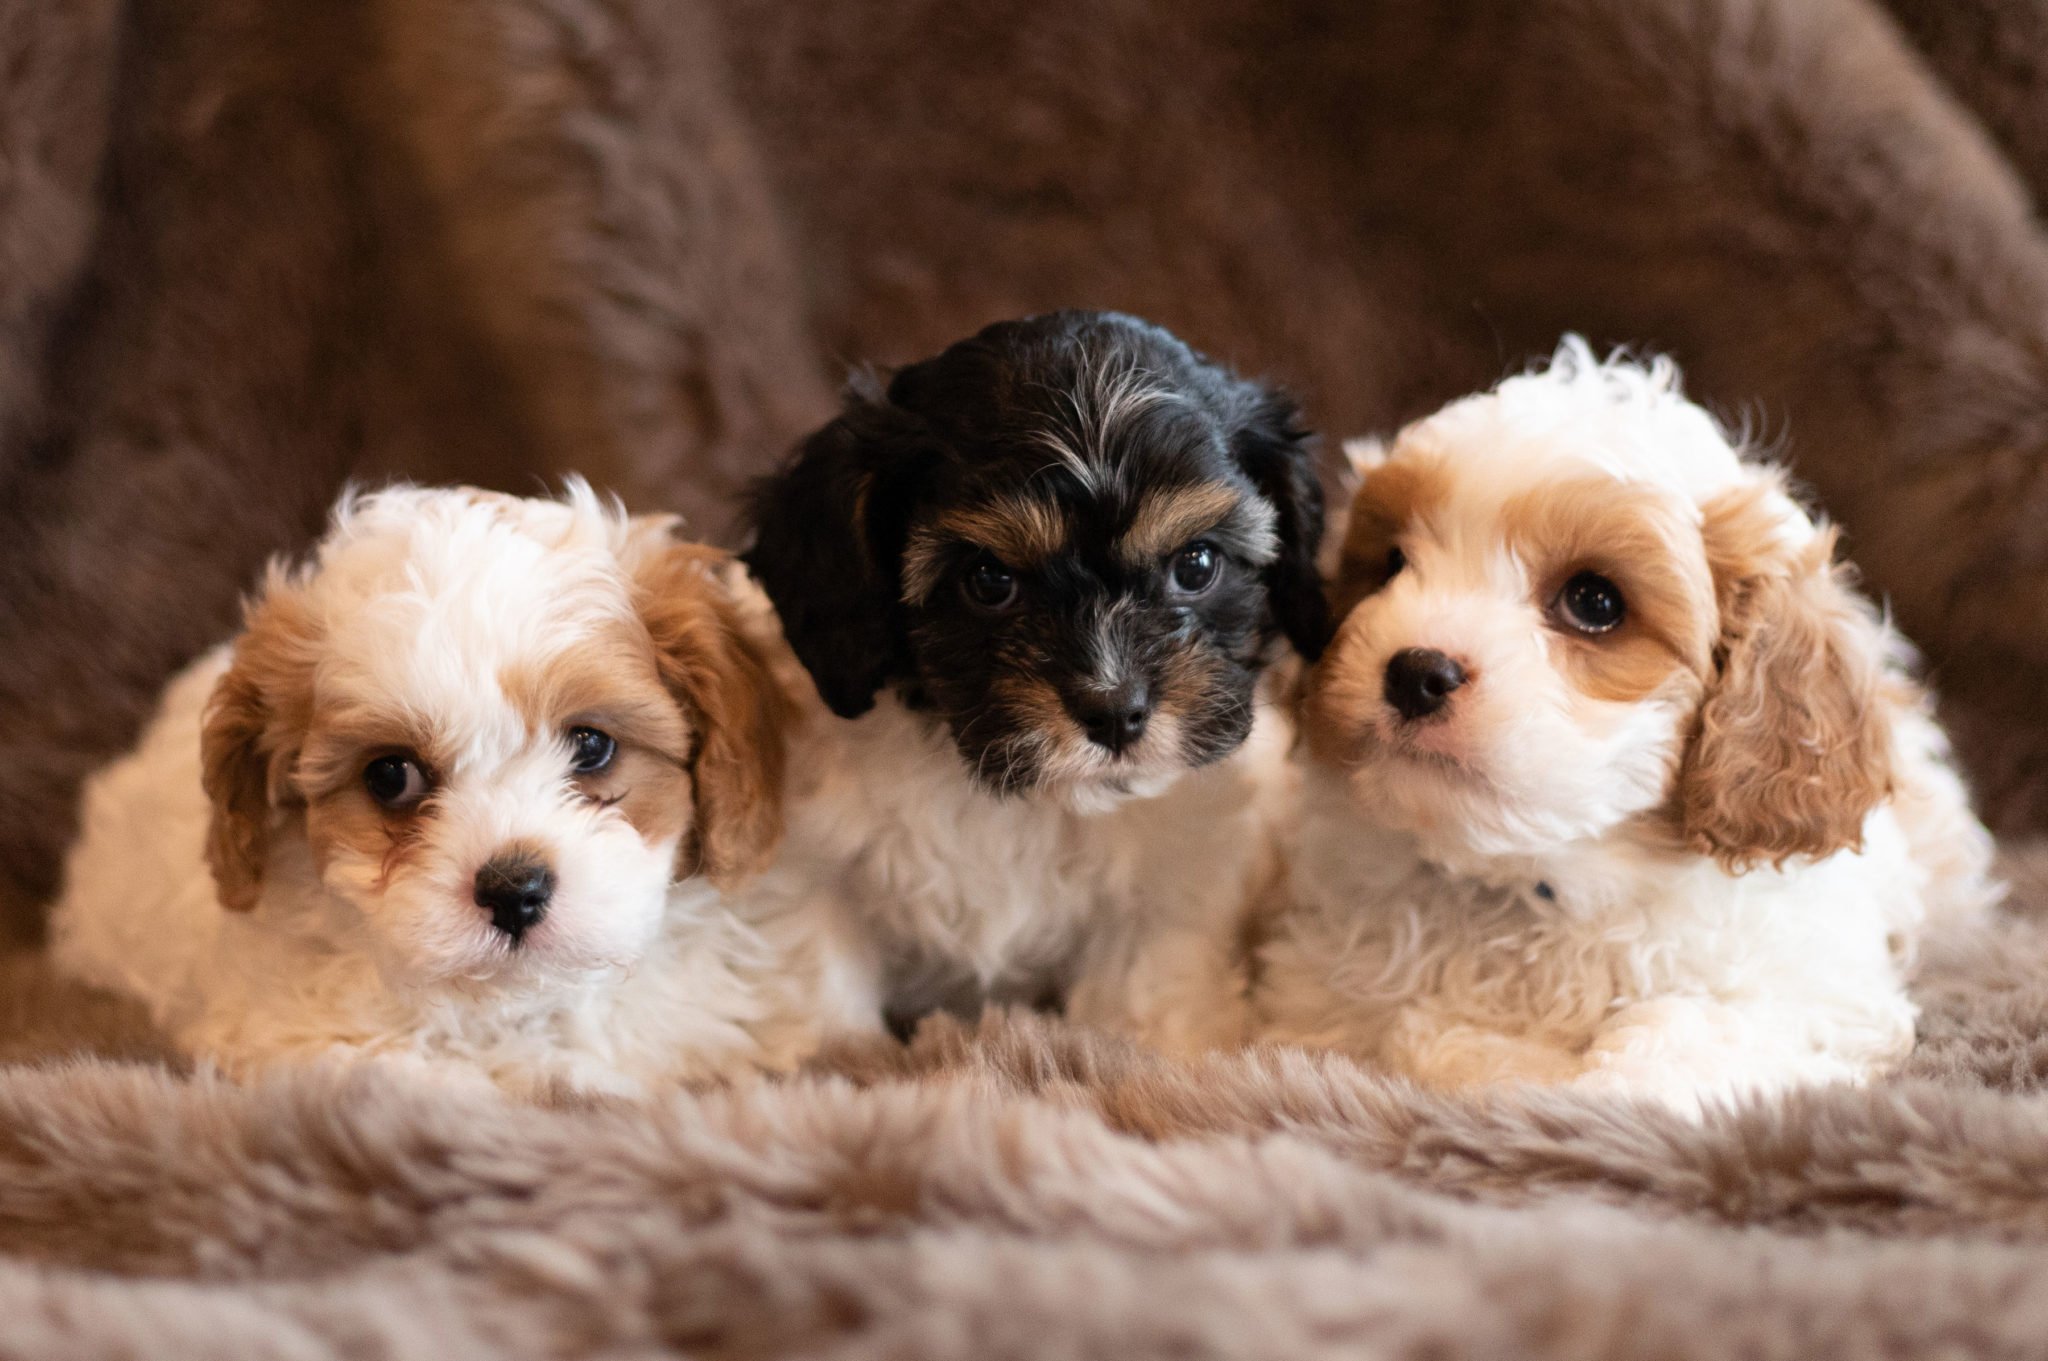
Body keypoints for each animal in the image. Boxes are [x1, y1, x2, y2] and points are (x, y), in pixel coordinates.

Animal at [737, 311, 1327, 1047]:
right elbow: (822, 979)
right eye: (990, 581)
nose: (1115, 710)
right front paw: (842, 1054)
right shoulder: (818, 873)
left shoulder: (1162, 901)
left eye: (1196, 564)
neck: (1024, 802)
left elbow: (1142, 995)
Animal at [1261, 339, 1998, 1113]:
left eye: (1594, 601)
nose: (1415, 671)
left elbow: (1681, 1047)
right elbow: (1423, 1036)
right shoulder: (1320, 1004)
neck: (1536, 885)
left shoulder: (1807, 997)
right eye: (1392, 565)